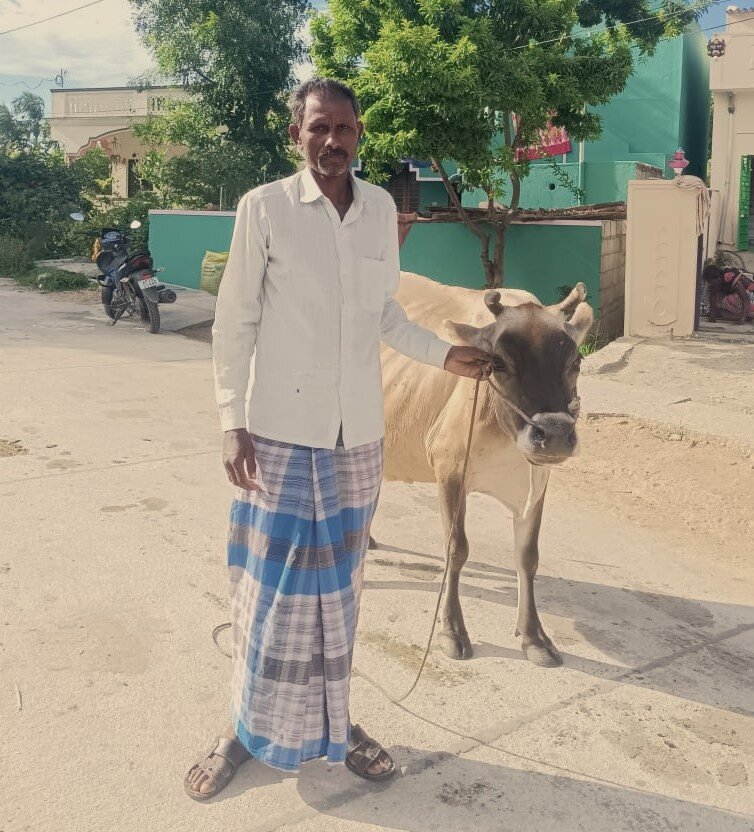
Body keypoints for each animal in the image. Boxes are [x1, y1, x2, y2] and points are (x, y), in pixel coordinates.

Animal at [373, 272, 593, 668]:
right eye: (499, 362)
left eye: (576, 363)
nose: (554, 434)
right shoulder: (449, 468)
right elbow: (456, 549)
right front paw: (452, 631)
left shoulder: (537, 481)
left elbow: (528, 556)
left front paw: (534, 636)